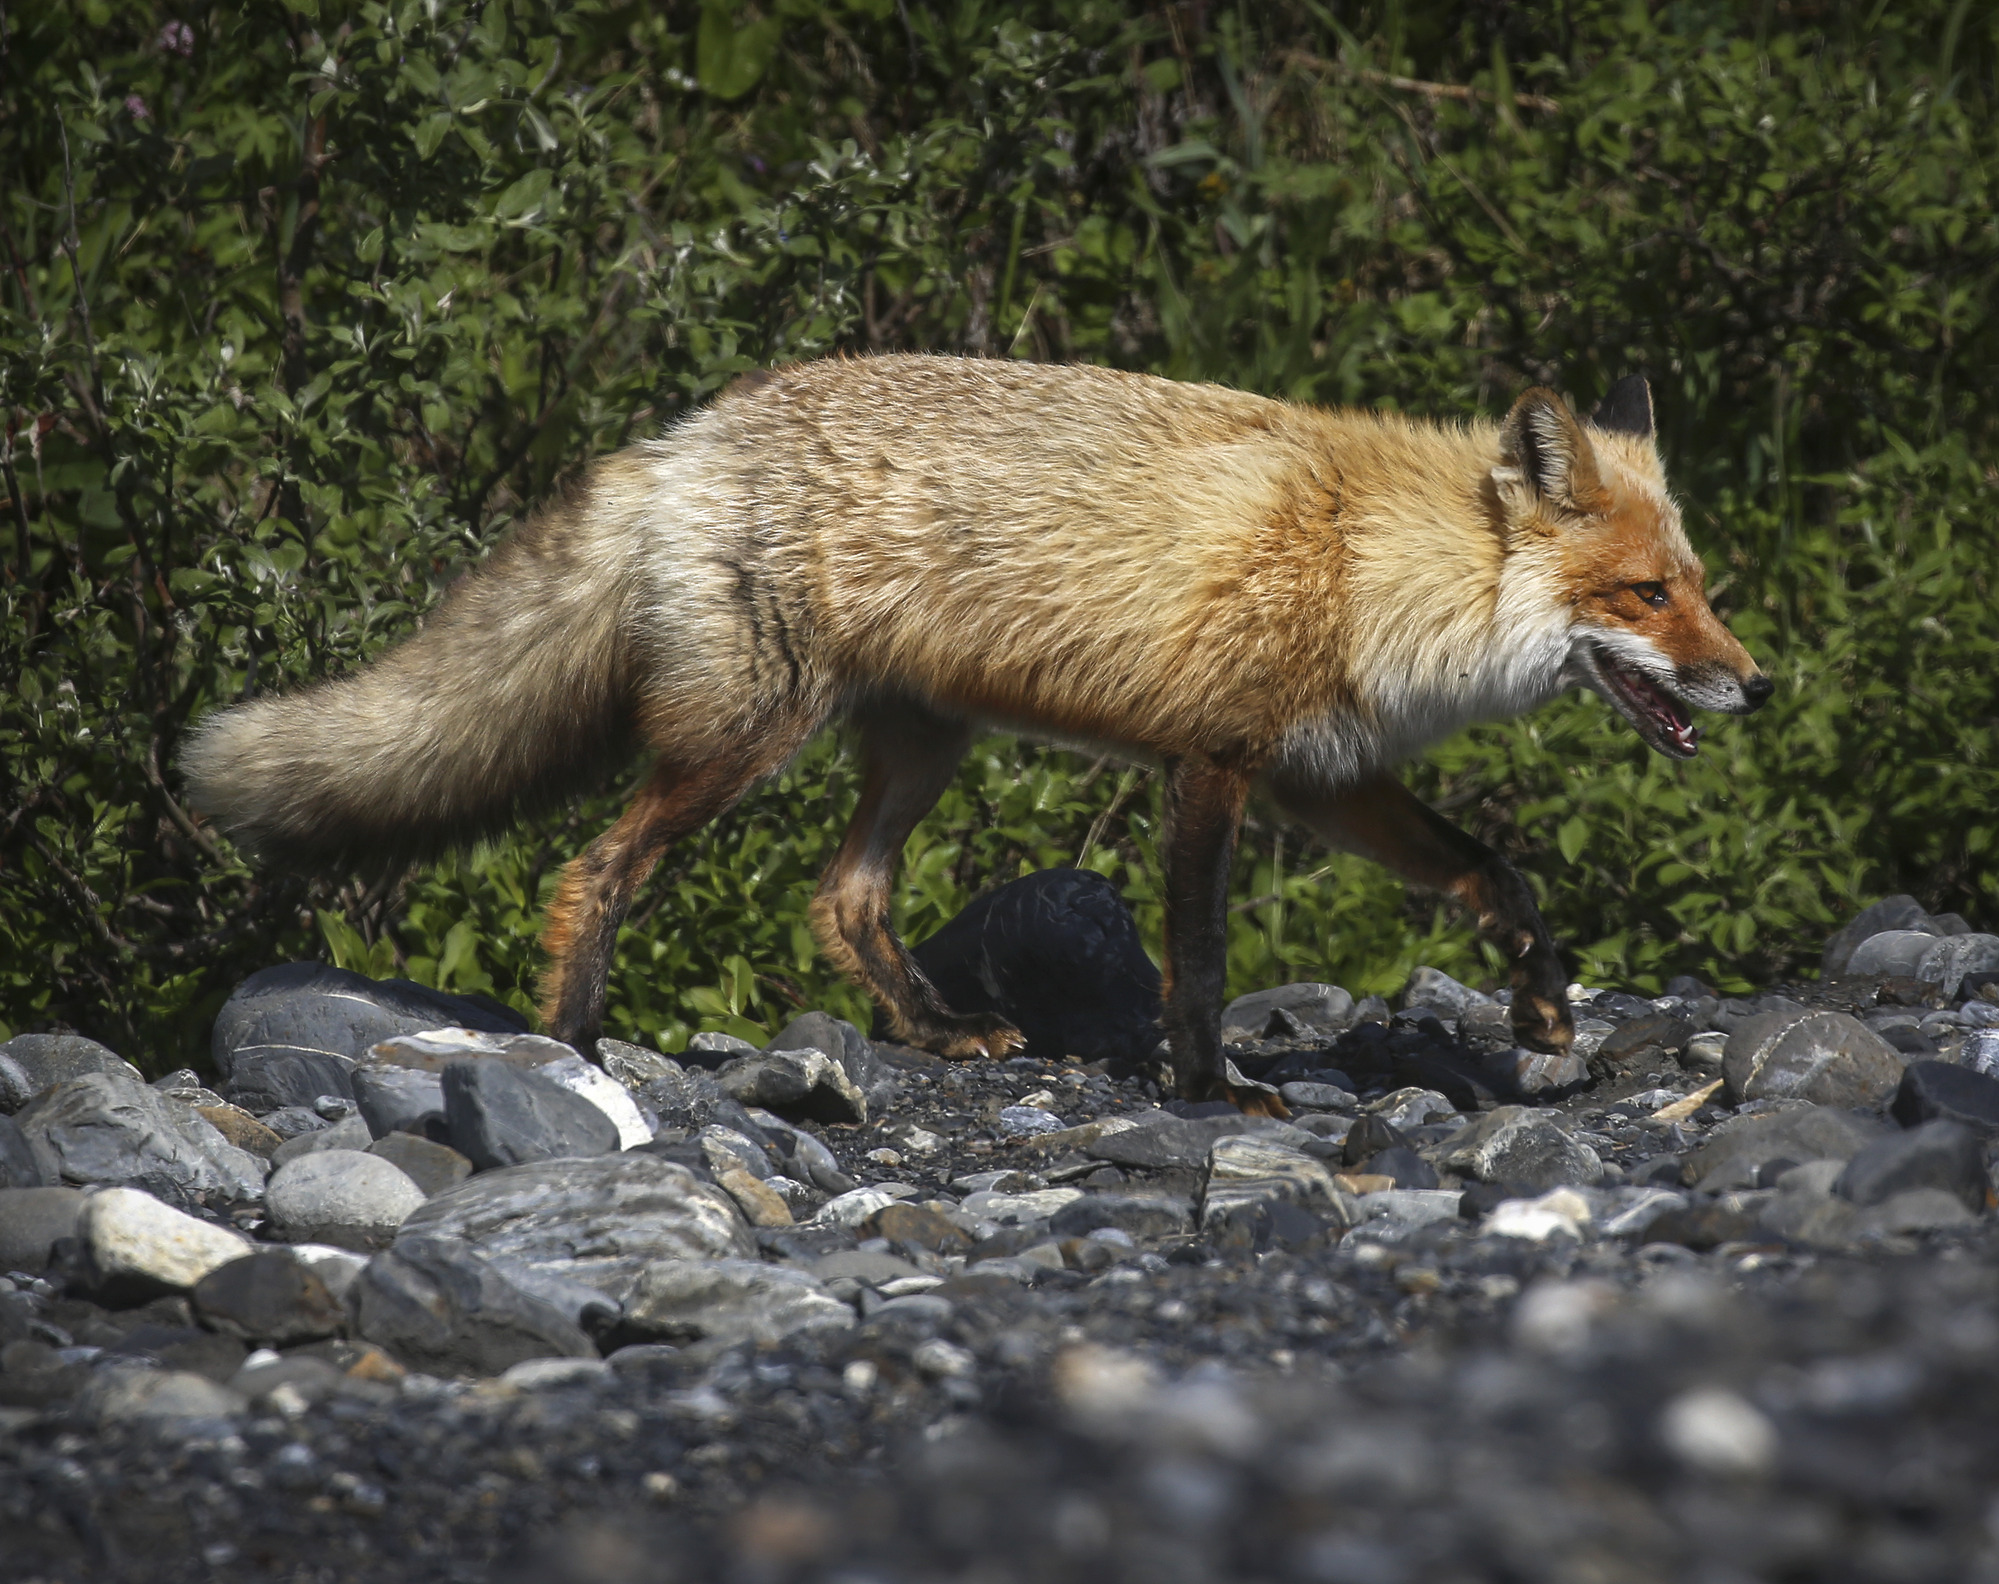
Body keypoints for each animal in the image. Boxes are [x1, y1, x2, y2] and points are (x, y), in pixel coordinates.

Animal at [184, 355, 1771, 1115]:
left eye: (1701, 586)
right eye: (1644, 596)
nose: (1753, 688)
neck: (1369, 561)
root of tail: (681, 436)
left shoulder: (1323, 780)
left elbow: (1497, 876)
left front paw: (1543, 1009)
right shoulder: (1213, 768)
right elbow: (1199, 962)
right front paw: (1211, 1094)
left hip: (917, 752)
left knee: (842, 898)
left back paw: (939, 1033)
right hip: (743, 741)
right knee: (598, 864)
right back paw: (571, 1046)